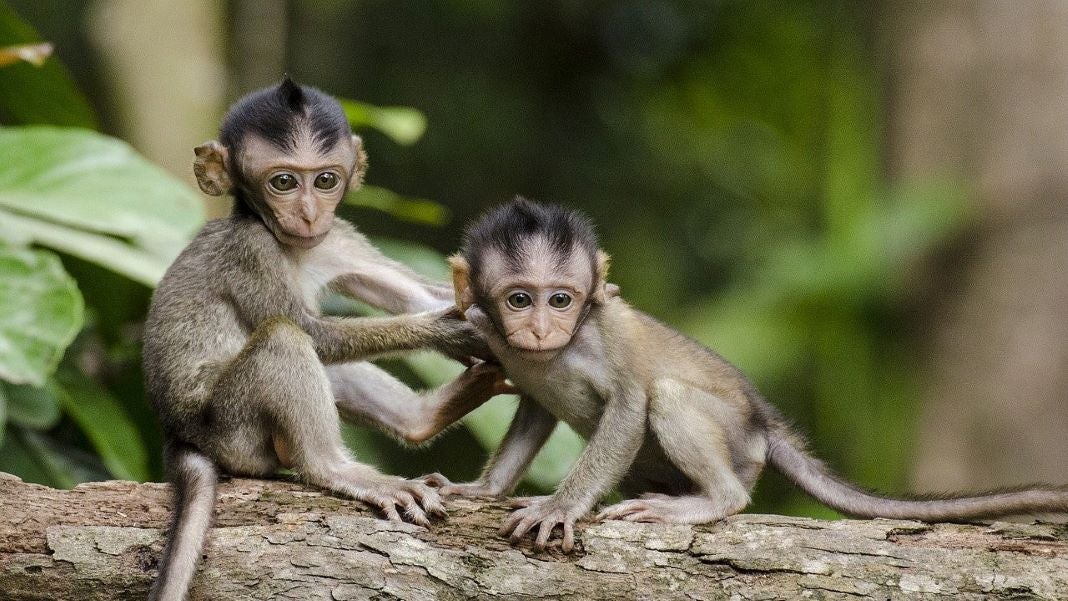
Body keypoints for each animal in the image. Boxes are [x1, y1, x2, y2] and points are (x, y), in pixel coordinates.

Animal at [143, 78, 508, 601]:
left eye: (325, 181)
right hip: (232, 430)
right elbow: (312, 331)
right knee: (285, 338)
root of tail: (179, 434)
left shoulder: (339, 238)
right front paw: (446, 330)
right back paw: (336, 469)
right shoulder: (250, 250)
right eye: (283, 182)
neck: (291, 246)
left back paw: (422, 418)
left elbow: (417, 293)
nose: (310, 214)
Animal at [423, 197, 1068, 553]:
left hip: (739, 443)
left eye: (560, 299)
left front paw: (561, 506)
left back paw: (712, 500)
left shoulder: (604, 334)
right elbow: (534, 410)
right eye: (518, 300)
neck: (553, 353)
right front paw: (483, 490)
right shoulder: (495, 340)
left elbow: (629, 405)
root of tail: (764, 423)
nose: (539, 330)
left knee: (670, 398)